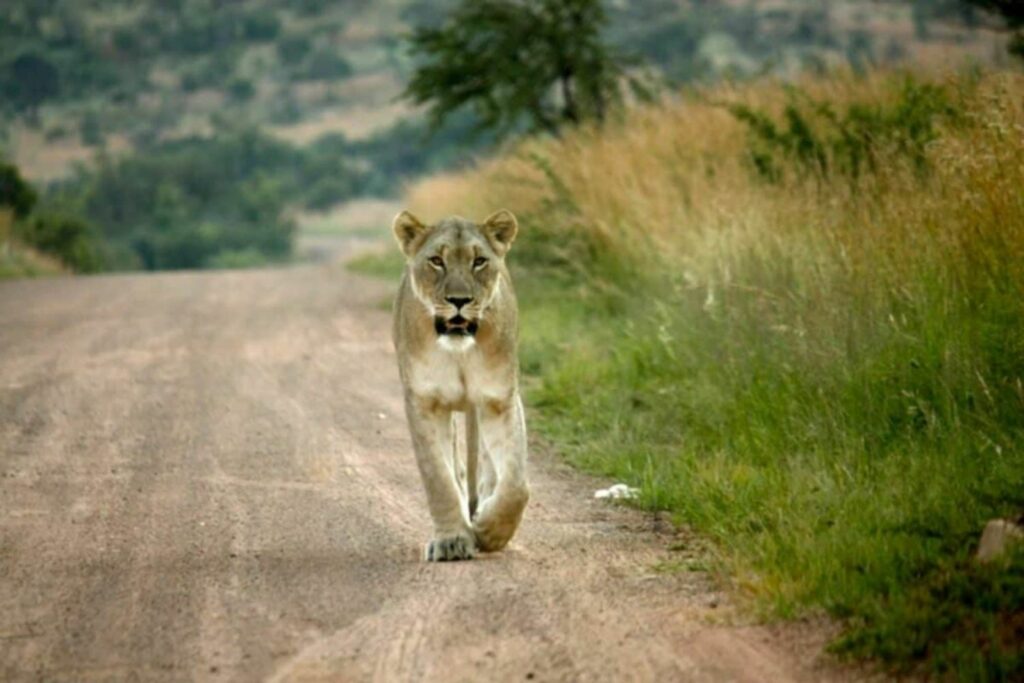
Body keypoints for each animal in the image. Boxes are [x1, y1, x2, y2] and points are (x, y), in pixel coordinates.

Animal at [391, 209, 530, 561]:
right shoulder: (424, 403)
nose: (459, 300)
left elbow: (516, 485)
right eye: (436, 261)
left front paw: (489, 531)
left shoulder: (499, 400)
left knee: (490, 469)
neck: (459, 353)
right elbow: (439, 479)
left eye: (479, 261)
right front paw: (452, 541)